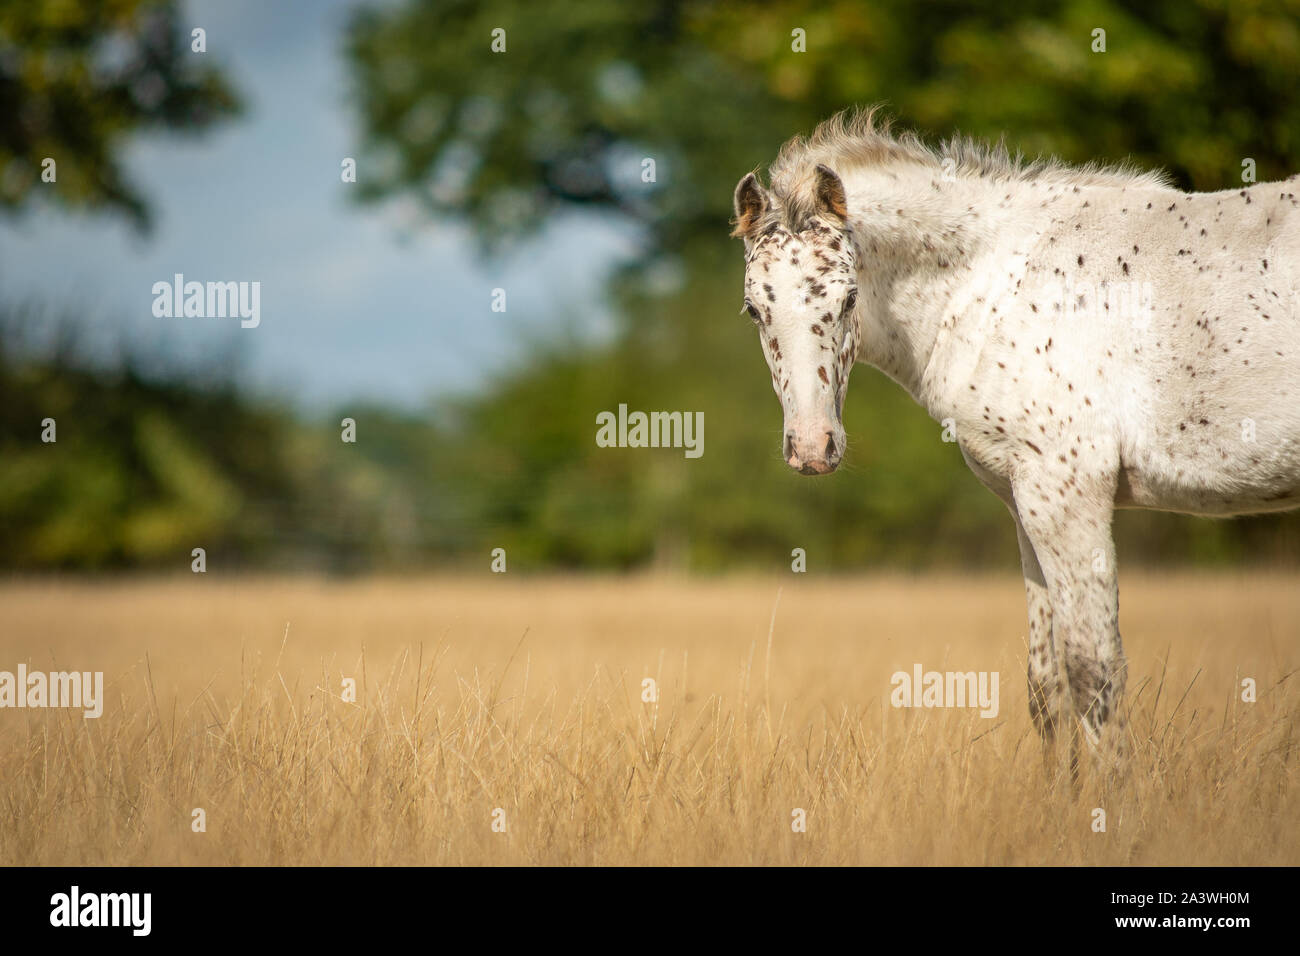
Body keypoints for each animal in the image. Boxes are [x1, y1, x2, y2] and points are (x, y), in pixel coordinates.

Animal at [732, 107, 1300, 779]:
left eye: (847, 298)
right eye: (754, 310)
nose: (813, 448)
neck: (993, 284)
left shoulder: (1068, 491)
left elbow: (1094, 672)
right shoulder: (1025, 502)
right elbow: (1046, 685)